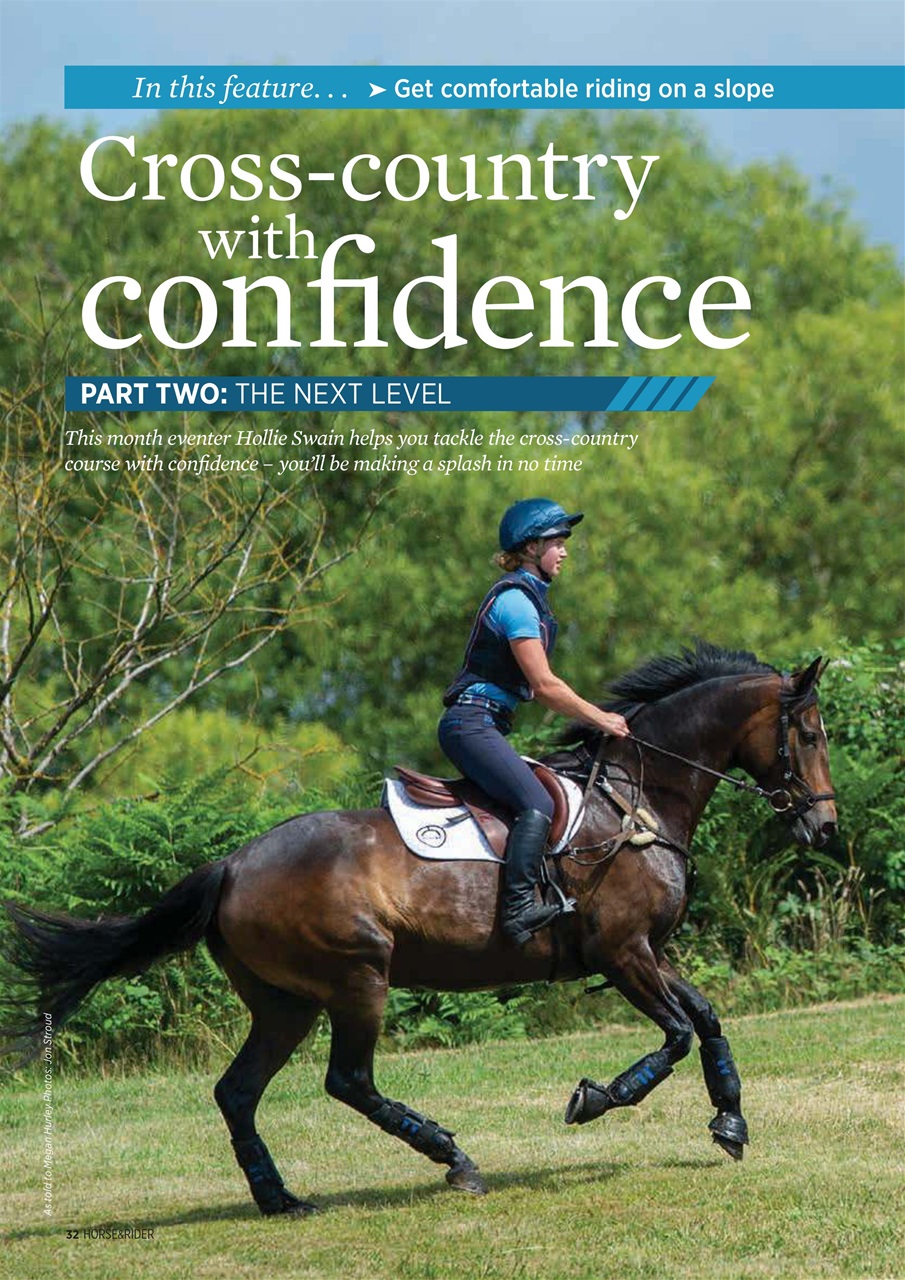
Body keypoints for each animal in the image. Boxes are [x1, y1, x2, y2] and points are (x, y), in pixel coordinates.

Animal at [2, 643, 837, 1216]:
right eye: (807, 733)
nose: (824, 827)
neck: (635, 801)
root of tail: (232, 866)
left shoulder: (647, 953)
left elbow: (706, 1018)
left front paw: (730, 1122)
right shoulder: (622, 952)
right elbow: (674, 1036)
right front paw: (596, 1098)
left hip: (284, 1002)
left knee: (237, 1091)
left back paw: (280, 1198)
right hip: (356, 979)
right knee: (347, 1080)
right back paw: (452, 1157)